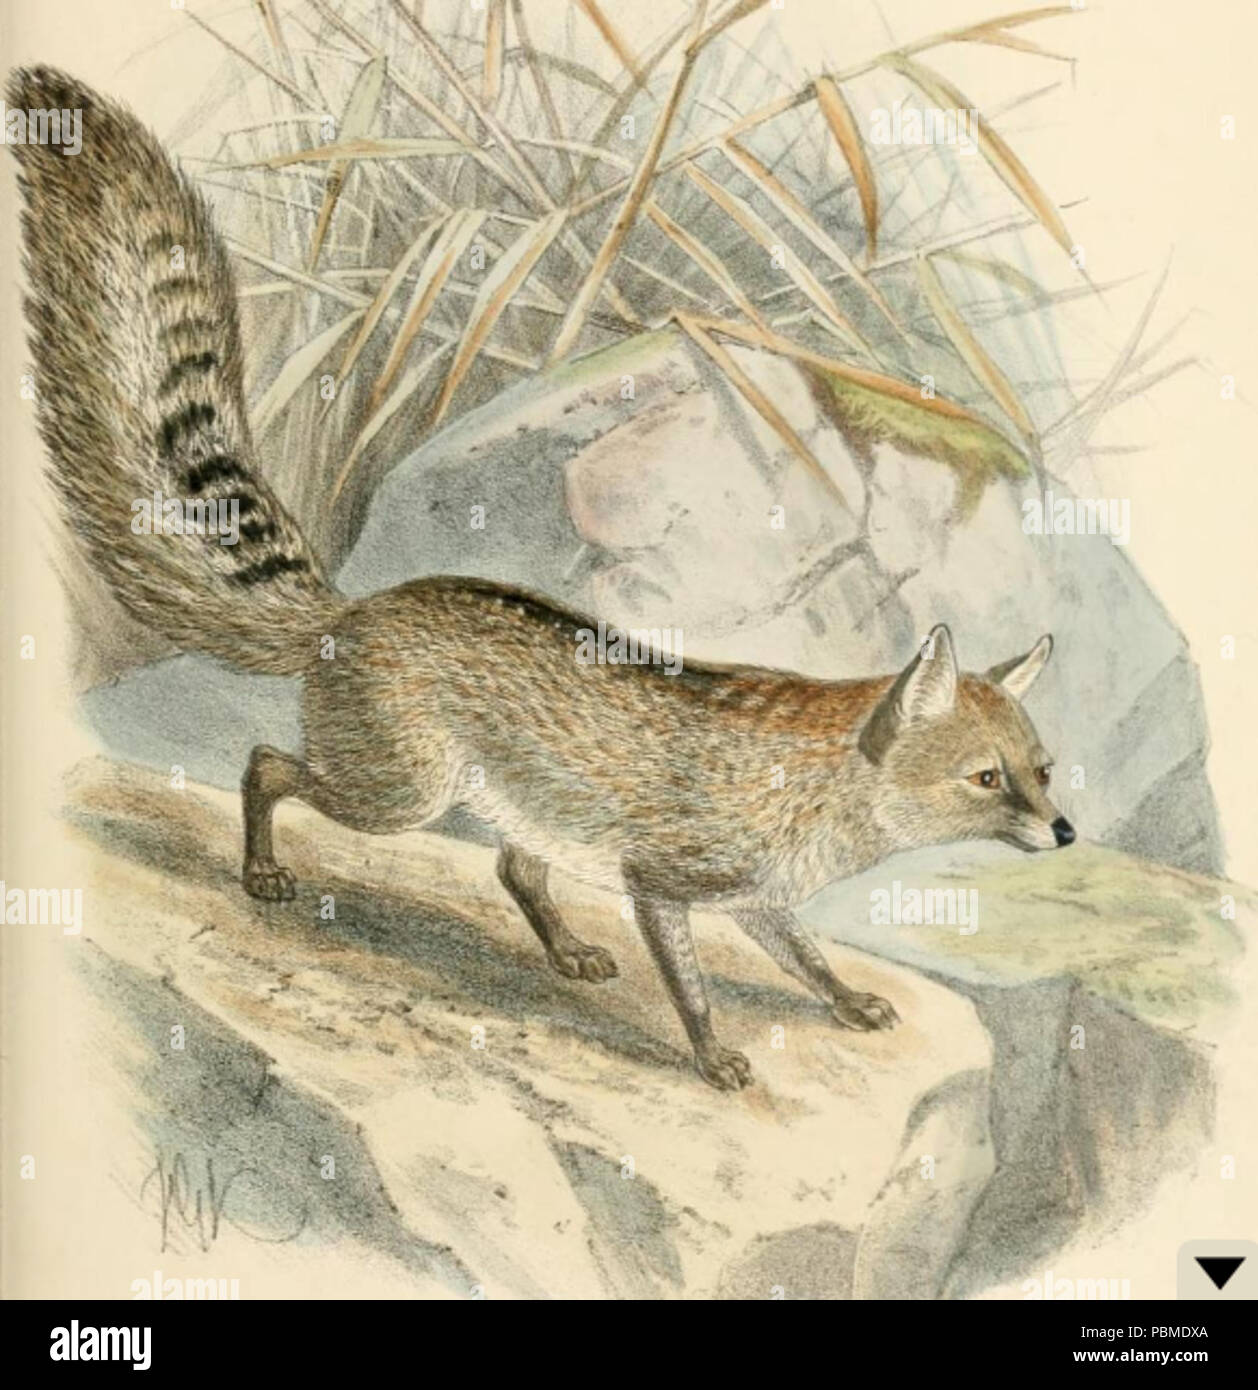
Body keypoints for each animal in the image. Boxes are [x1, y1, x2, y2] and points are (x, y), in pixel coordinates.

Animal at [10, 67, 1075, 1091]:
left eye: (1044, 768)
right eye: (988, 778)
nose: (1066, 831)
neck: (813, 782)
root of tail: (359, 607)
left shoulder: (757, 899)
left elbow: (809, 960)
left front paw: (848, 1002)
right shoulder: (663, 885)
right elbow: (692, 989)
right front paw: (711, 1058)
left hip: (502, 809)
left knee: (515, 874)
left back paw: (565, 952)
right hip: (400, 796)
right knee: (267, 765)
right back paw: (264, 872)